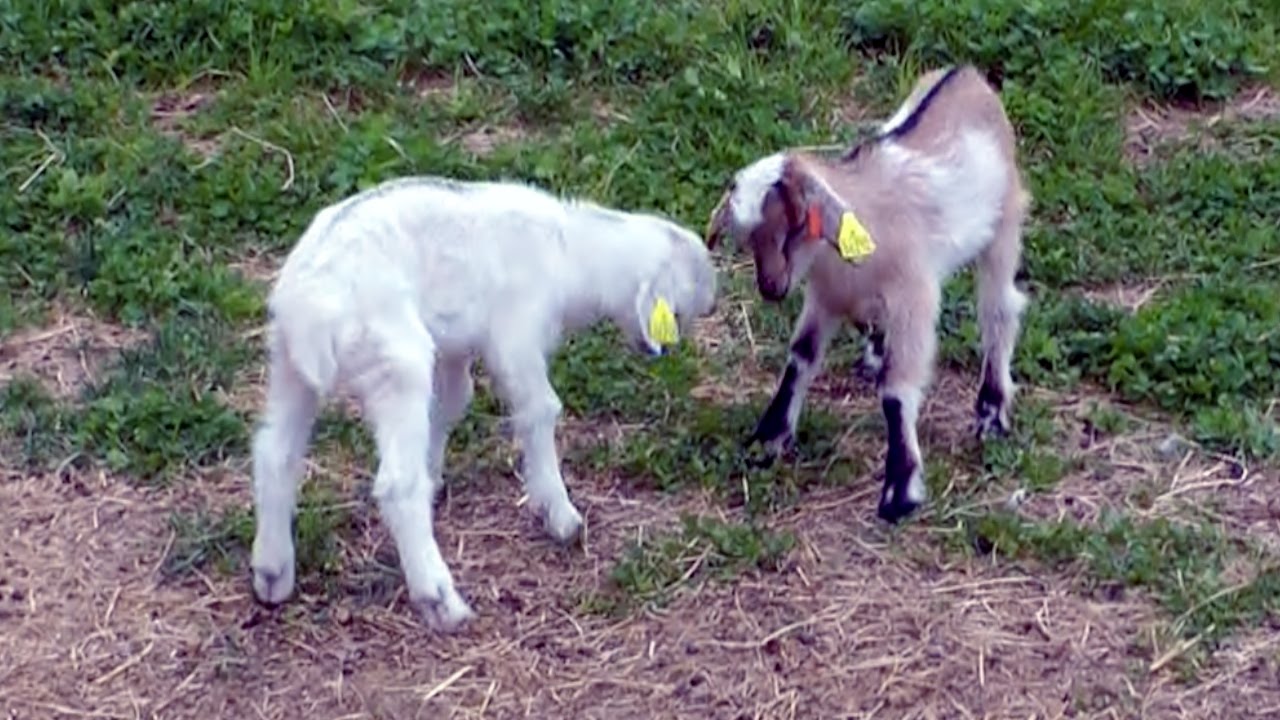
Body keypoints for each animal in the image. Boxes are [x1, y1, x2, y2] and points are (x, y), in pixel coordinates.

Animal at [249, 176, 718, 631]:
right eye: (678, 313)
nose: (661, 352)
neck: (568, 252)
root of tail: (311, 309)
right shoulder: (517, 337)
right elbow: (539, 409)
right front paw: (561, 515)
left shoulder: (454, 348)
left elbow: (452, 402)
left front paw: (435, 475)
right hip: (395, 362)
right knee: (397, 484)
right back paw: (440, 600)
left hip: (288, 366)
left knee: (275, 454)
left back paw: (272, 573)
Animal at [703, 64, 1030, 524]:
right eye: (746, 238)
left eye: (797, 223)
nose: (771, 288)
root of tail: (967, 72)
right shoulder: (825, 296)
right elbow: (801, 356)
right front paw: (768, 438)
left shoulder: (914, 296)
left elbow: (896, 389)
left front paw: (900, 492)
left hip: (1003, 225)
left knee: (999, 310)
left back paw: (992, 411)